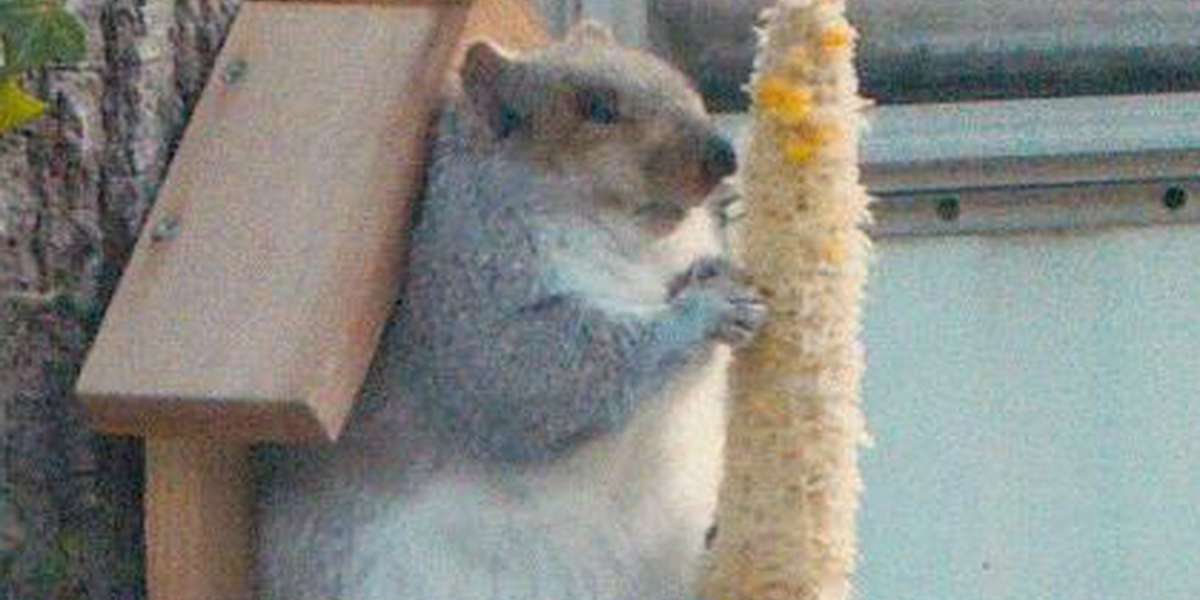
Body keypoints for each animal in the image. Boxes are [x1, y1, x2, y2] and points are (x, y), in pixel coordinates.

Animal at [255, 21, 765, 600]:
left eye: (678, 77)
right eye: (596, 108)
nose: (723, 156)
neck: (632, 236)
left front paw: (710, 271)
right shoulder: (464, 297)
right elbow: (525, 374)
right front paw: (703, 311)